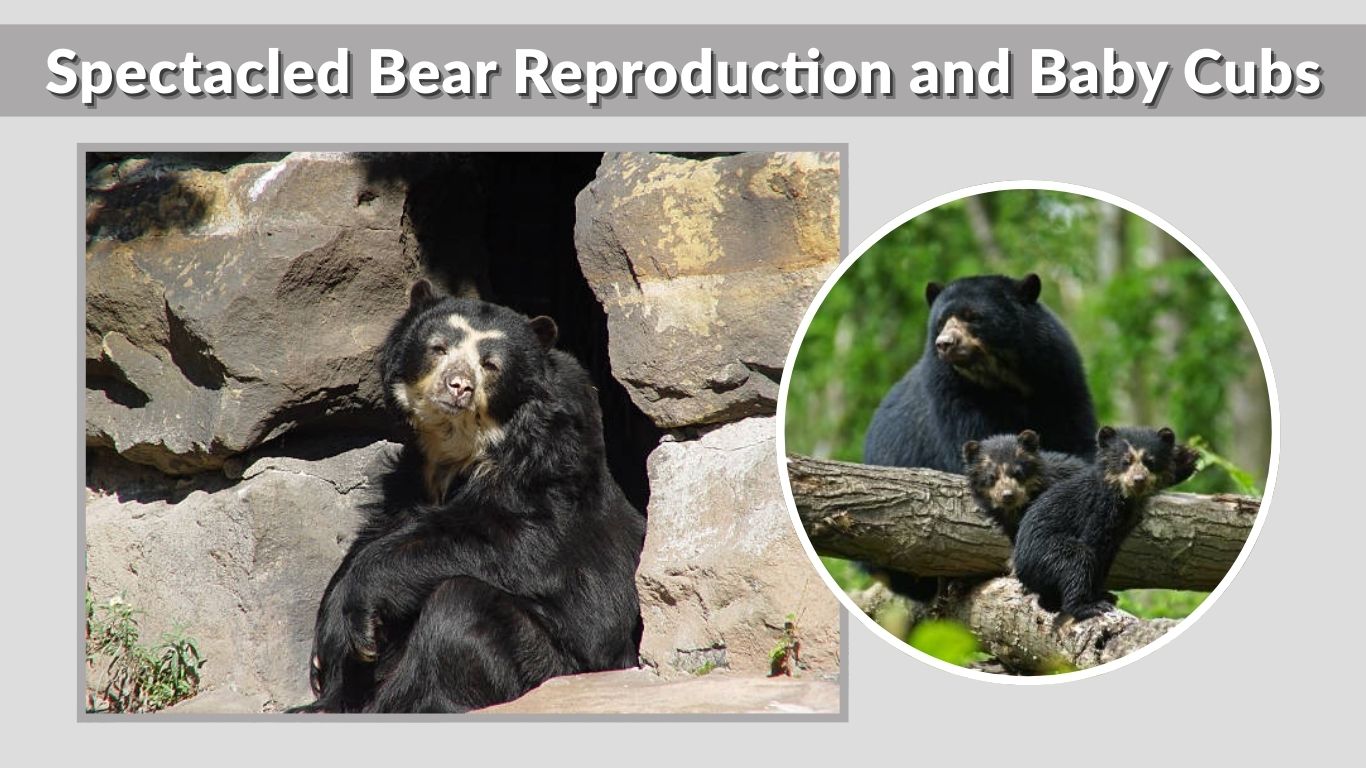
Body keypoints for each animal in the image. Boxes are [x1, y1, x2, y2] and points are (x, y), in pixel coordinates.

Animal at [295, 280, 646, 713]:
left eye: (491, 365)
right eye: (438, 347)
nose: (458, 385)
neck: (465, 445)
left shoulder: (552, 466)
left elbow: (509, 540)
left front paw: (358, 608)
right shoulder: (414, 475)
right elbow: (383, 525)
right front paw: (326, 641)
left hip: (548, 664)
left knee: (461, 607)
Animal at [1012, 426, 1199, 621]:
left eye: (1150, 461)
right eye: (1126, 461)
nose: (1138, 480)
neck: (1126, 498)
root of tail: (1021, 569)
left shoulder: (1123, 526)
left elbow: (1108, 556)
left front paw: (1103, 593)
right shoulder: (1100, 508)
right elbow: (1094, 544)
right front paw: (1096, 598)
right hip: (1044, 553)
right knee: (1077, 559)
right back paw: (1086, 607)